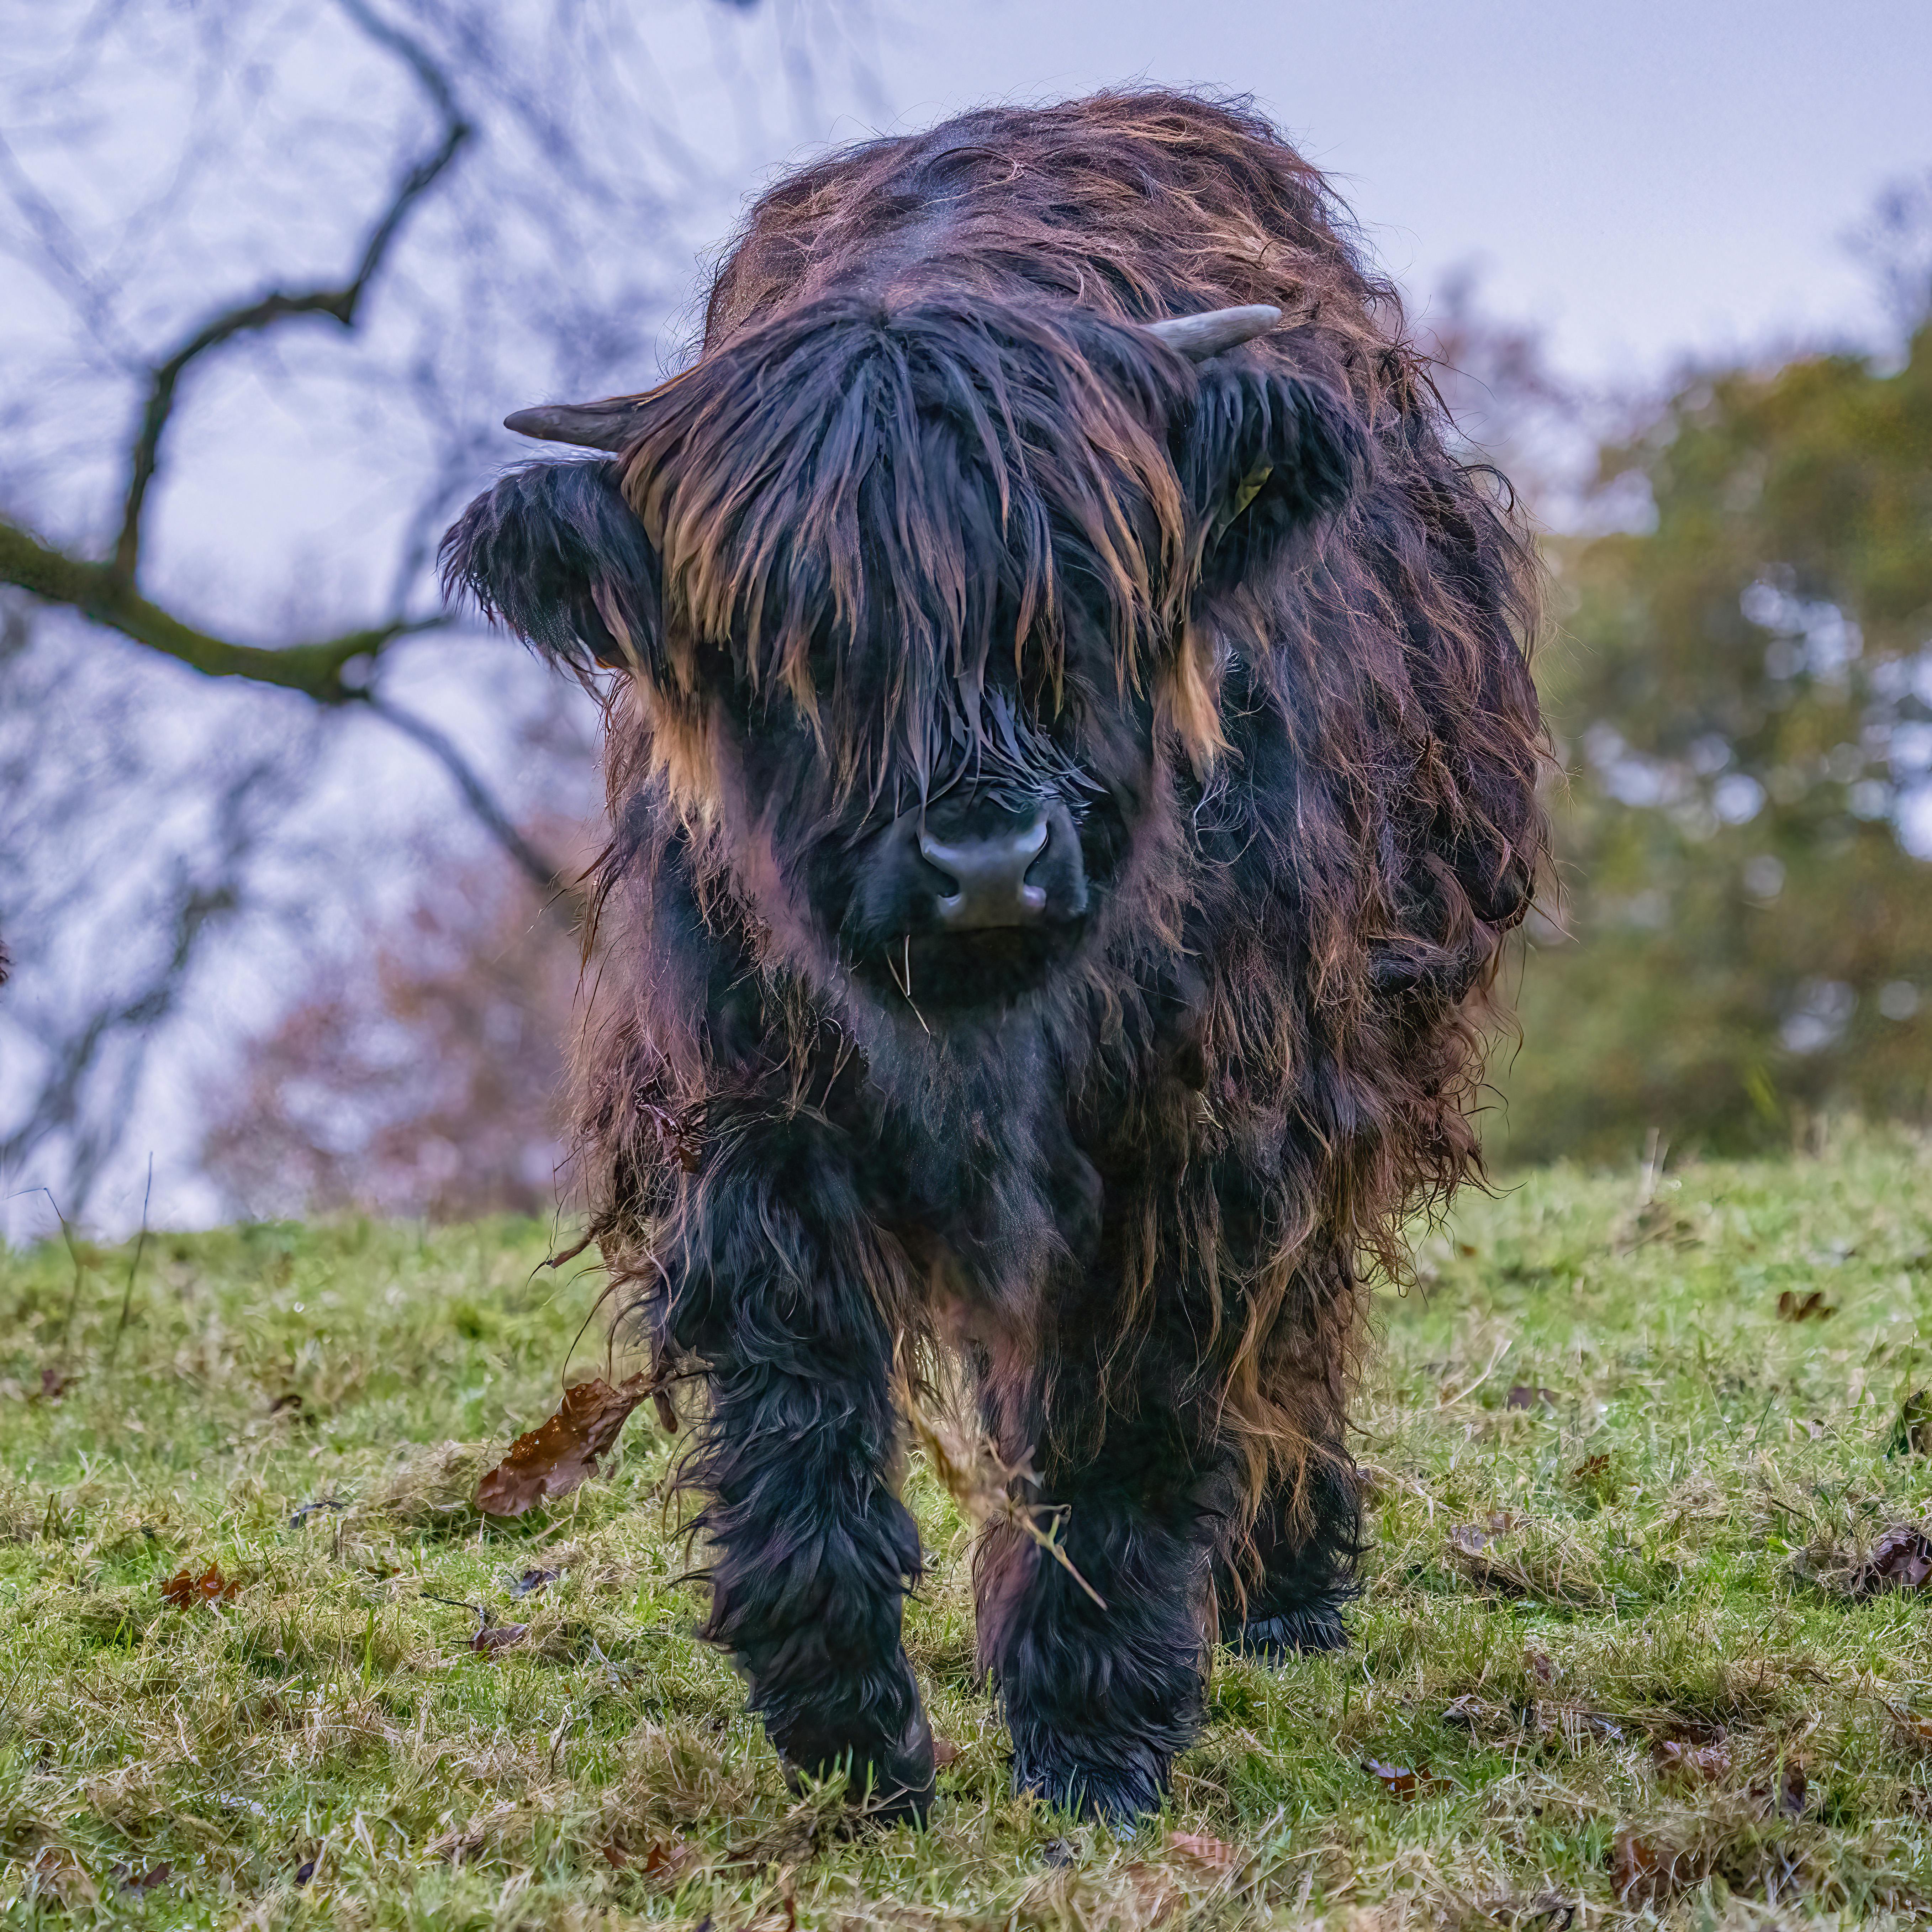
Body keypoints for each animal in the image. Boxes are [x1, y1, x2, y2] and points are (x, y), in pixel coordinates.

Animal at [442, 90, 1547, 1828]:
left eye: (1078, 597)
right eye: (804, 631)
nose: (983, 861)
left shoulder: (1202, 1116)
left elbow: (1122, 1413)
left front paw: (1090, 1736)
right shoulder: (739, 1099)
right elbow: (797, 1397)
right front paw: (850, 1733)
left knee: (1298, 1322)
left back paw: (1287, 1583)